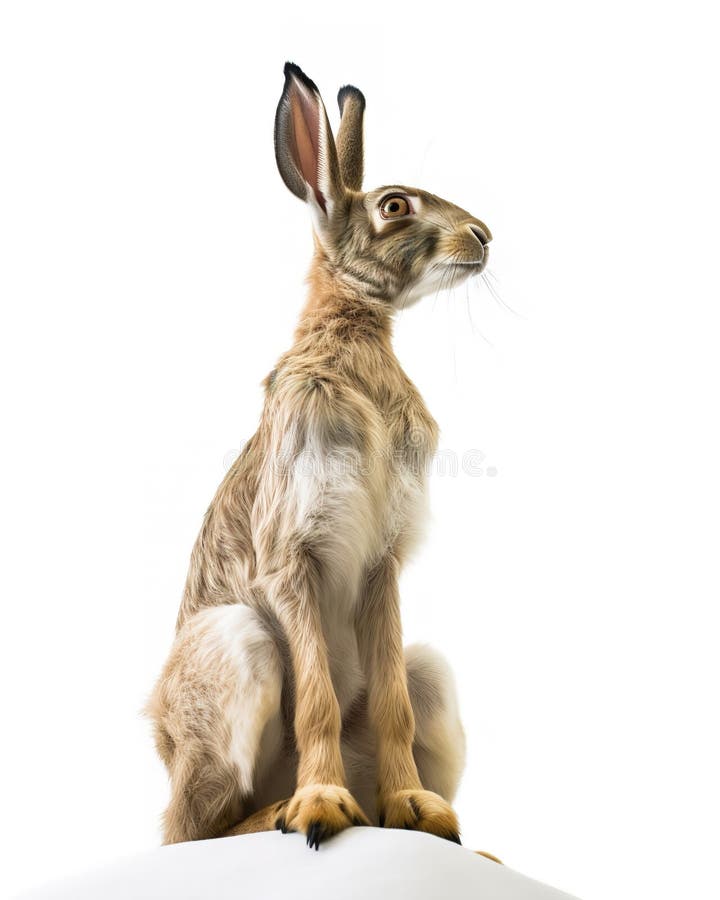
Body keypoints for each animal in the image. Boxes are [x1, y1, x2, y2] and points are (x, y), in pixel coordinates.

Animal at [147, 62, 492, 851]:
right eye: (394, 205)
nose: (484, 236)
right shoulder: (293, 553)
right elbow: (316, 700)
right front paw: (322, 806)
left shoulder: (381, 564)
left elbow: (390, 702)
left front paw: (412, 807)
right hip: (237, 649)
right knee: (202, 829)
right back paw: (282, 810)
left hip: (435, 676)